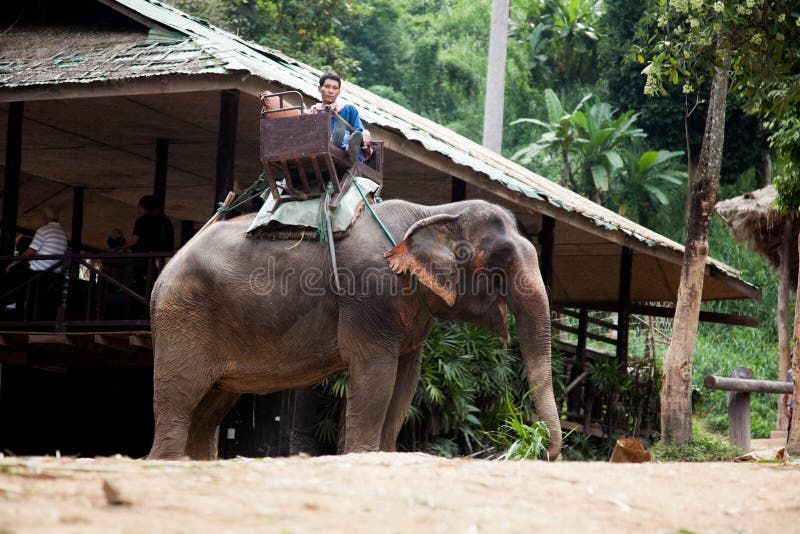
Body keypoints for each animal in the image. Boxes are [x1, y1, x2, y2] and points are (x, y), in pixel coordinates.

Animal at [147, 198, 561, 460]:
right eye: (502, 261)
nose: (542, 449)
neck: (433, 212)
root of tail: (165, 271)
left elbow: (406, 382)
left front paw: (385, 456)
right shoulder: (369, 295)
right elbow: (376, 375)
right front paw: (364, 455)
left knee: (210, 406)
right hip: (183, 319)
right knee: (180, 396)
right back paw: (166, 461)